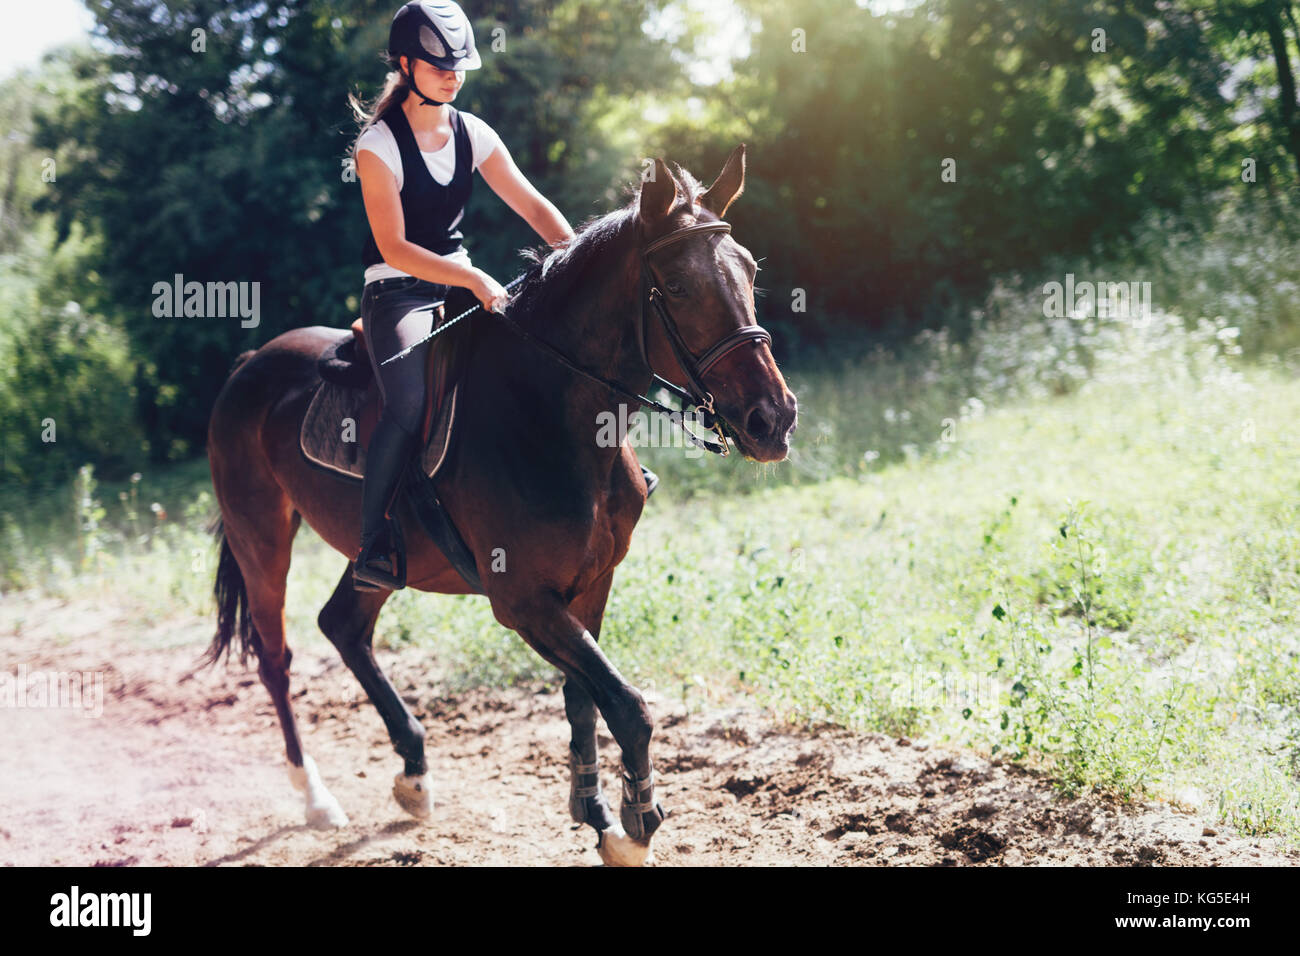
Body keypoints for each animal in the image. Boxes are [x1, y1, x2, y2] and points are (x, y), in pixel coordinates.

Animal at [203, 145, 798, 866]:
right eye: (679, 288)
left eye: (749, 271)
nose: (774, 419)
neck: (556, 413)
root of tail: (249, 363)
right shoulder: (523, 602)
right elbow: (626, 705)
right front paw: (636, 820)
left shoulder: (590, 583)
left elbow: (583, 699)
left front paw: (595, 812)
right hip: (261, 536)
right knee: (276, 657)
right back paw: (316, 797)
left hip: (379, 559)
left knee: (343, 625)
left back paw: (415, 775)